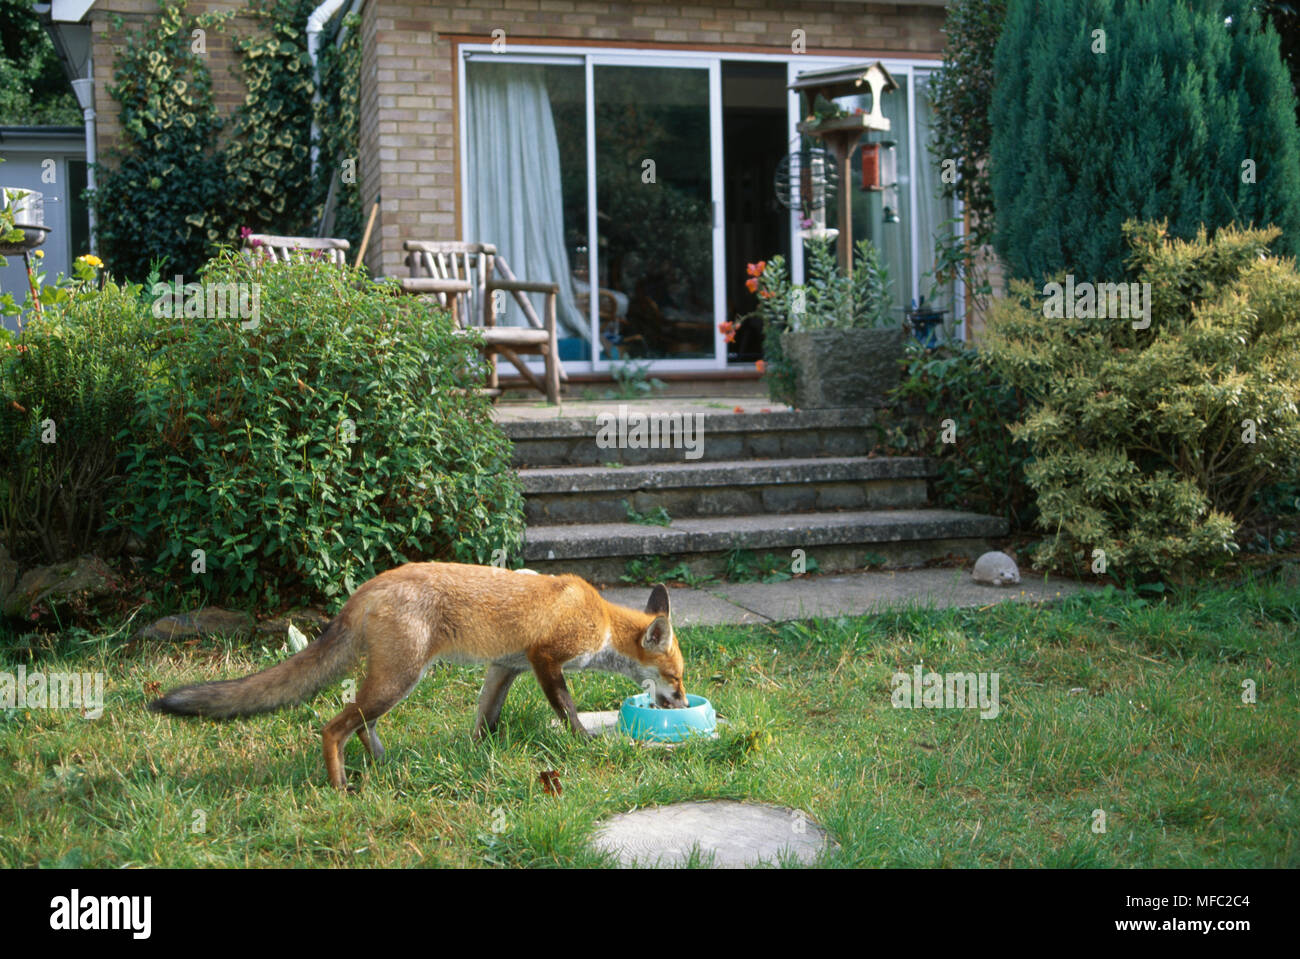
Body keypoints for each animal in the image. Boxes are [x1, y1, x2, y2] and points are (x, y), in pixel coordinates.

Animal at [148, 562, 686, 789]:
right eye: (676, 678)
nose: (683, 703)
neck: (602, 622)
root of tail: (368, 586)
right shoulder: (545, 658)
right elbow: (567, 710)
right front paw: (582, 742)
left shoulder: (504, 666)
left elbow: (485, 718)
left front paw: (479, 753)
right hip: (400, 679)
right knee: (335, 727)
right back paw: (341, 789)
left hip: (394, 681)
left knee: (361, 725)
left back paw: (384, 765)